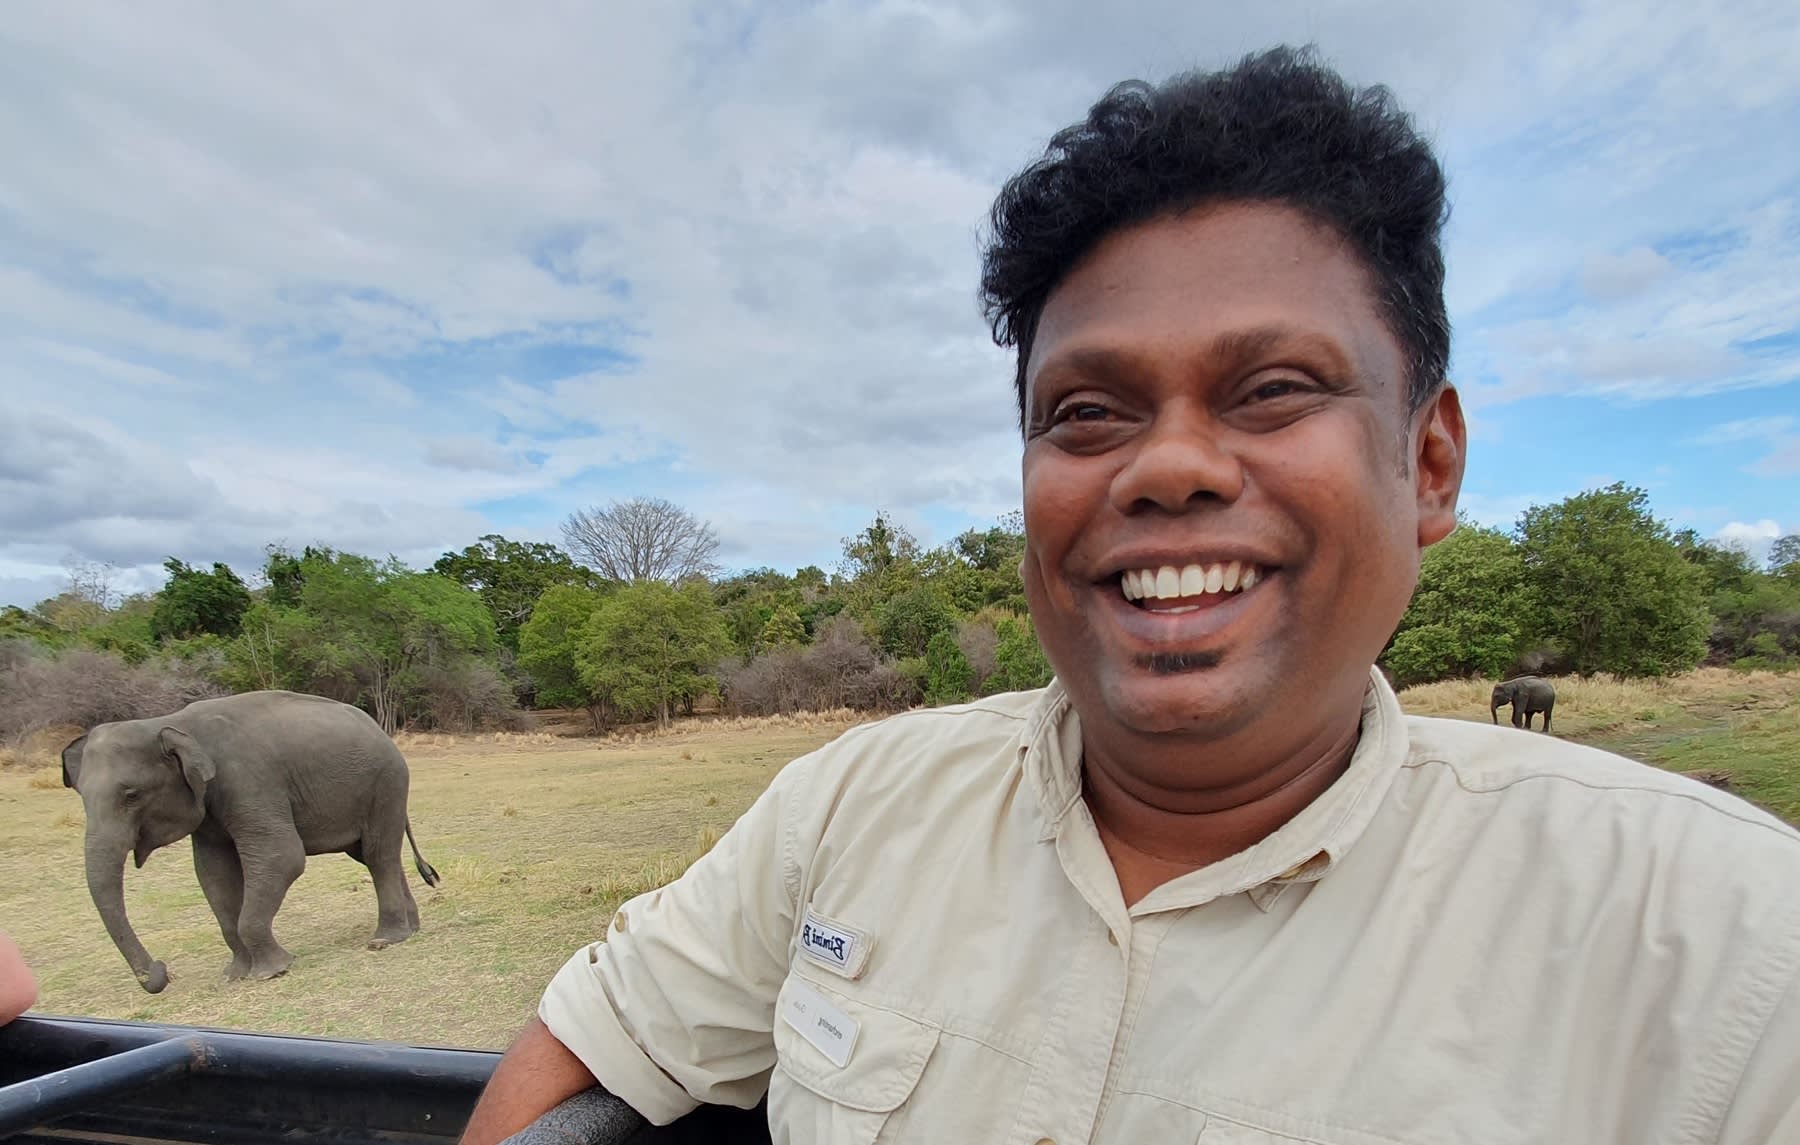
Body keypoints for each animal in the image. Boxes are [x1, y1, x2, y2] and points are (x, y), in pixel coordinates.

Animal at [61, 690, 440, 994]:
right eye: (81, 796)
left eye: (131, 795)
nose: (161, 971)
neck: (170, 723)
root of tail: (380, 729)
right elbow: (213, 875)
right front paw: (235, 976)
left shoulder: (247, 780)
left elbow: (282, 857)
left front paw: (272, 972)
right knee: (374, 854)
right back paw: (410, 929)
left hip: (387, 782)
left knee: (378, 854)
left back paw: (384, 941)